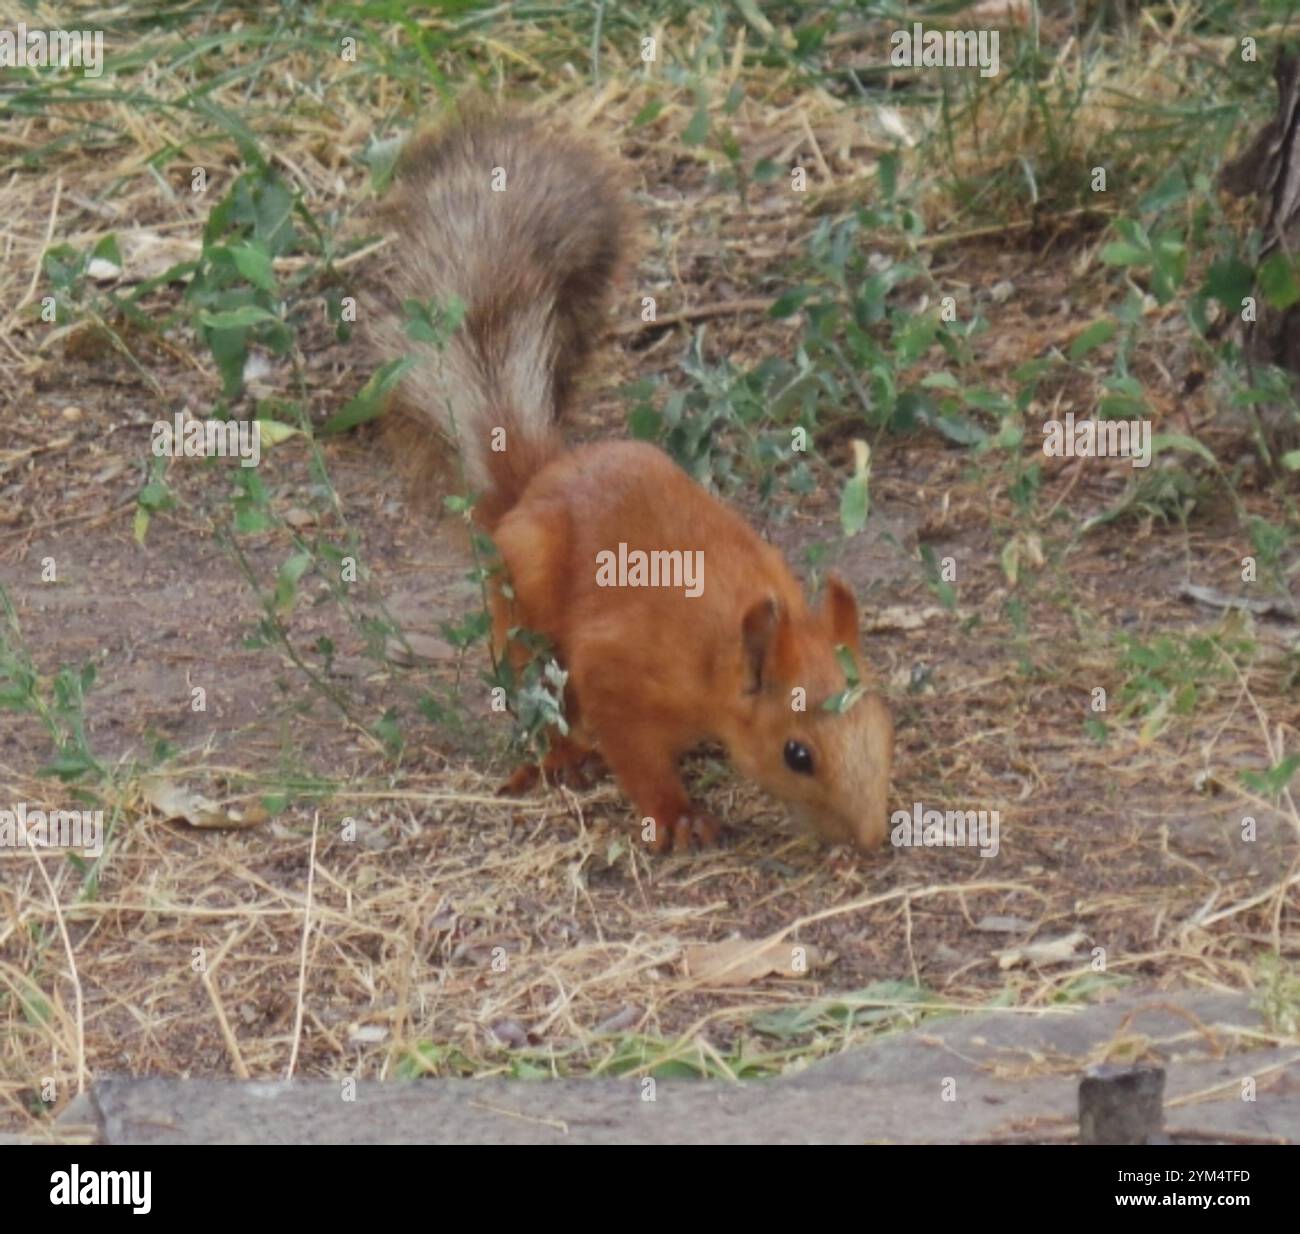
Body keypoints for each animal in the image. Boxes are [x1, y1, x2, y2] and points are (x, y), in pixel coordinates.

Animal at [370, 109, 894, 855]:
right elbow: (633, 751)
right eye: (798, 754)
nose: (871, 837)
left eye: (883, 721)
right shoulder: (618, 670)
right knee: (538, 688)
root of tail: (534, 485)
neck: (717, 651)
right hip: (524, 603)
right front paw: (678, 815)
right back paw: (563, 756)